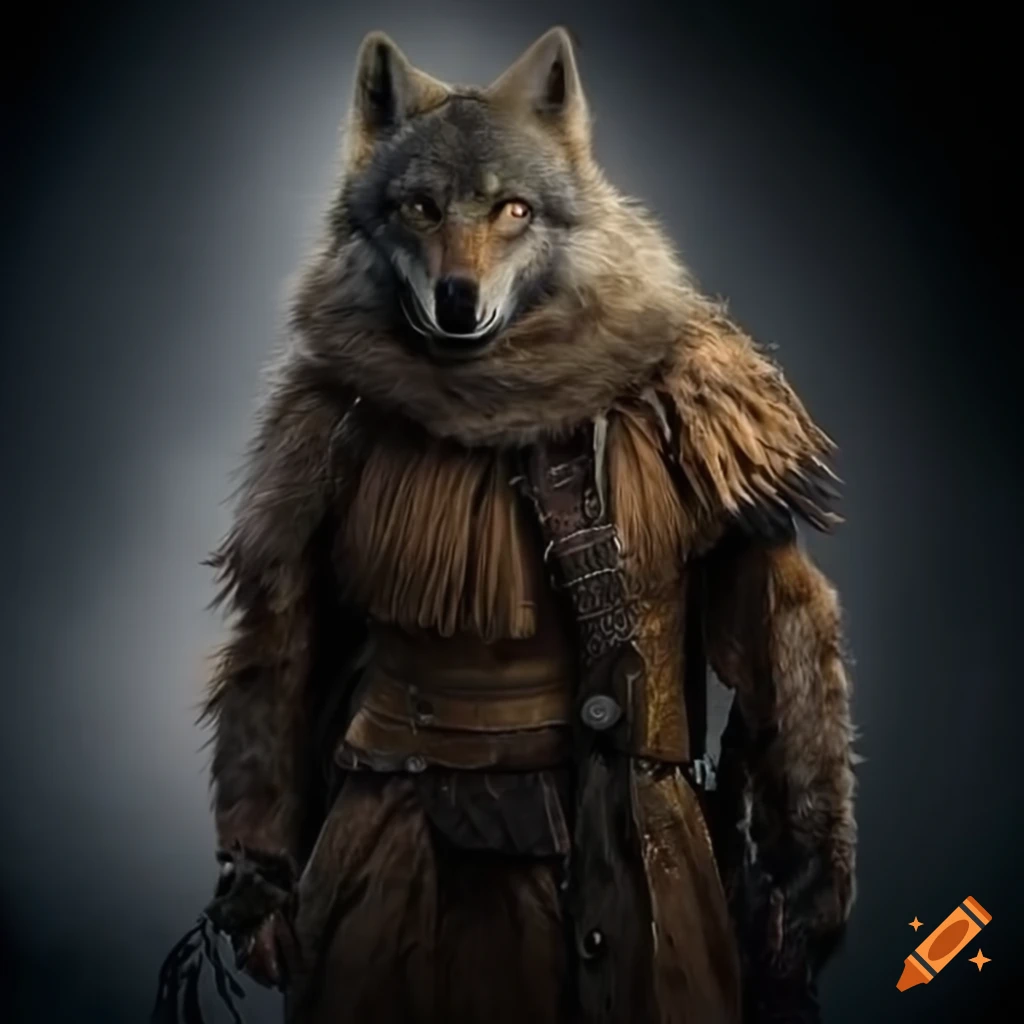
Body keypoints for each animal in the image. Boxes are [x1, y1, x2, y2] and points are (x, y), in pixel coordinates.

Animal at [197, 25, 857, 1024]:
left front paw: (803, 900)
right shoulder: (309, 437)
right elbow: (283, 642)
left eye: (511, 209)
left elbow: (777, 640)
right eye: (421, 207)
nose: (458, 300)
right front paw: (258, 888)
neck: (498, 406)